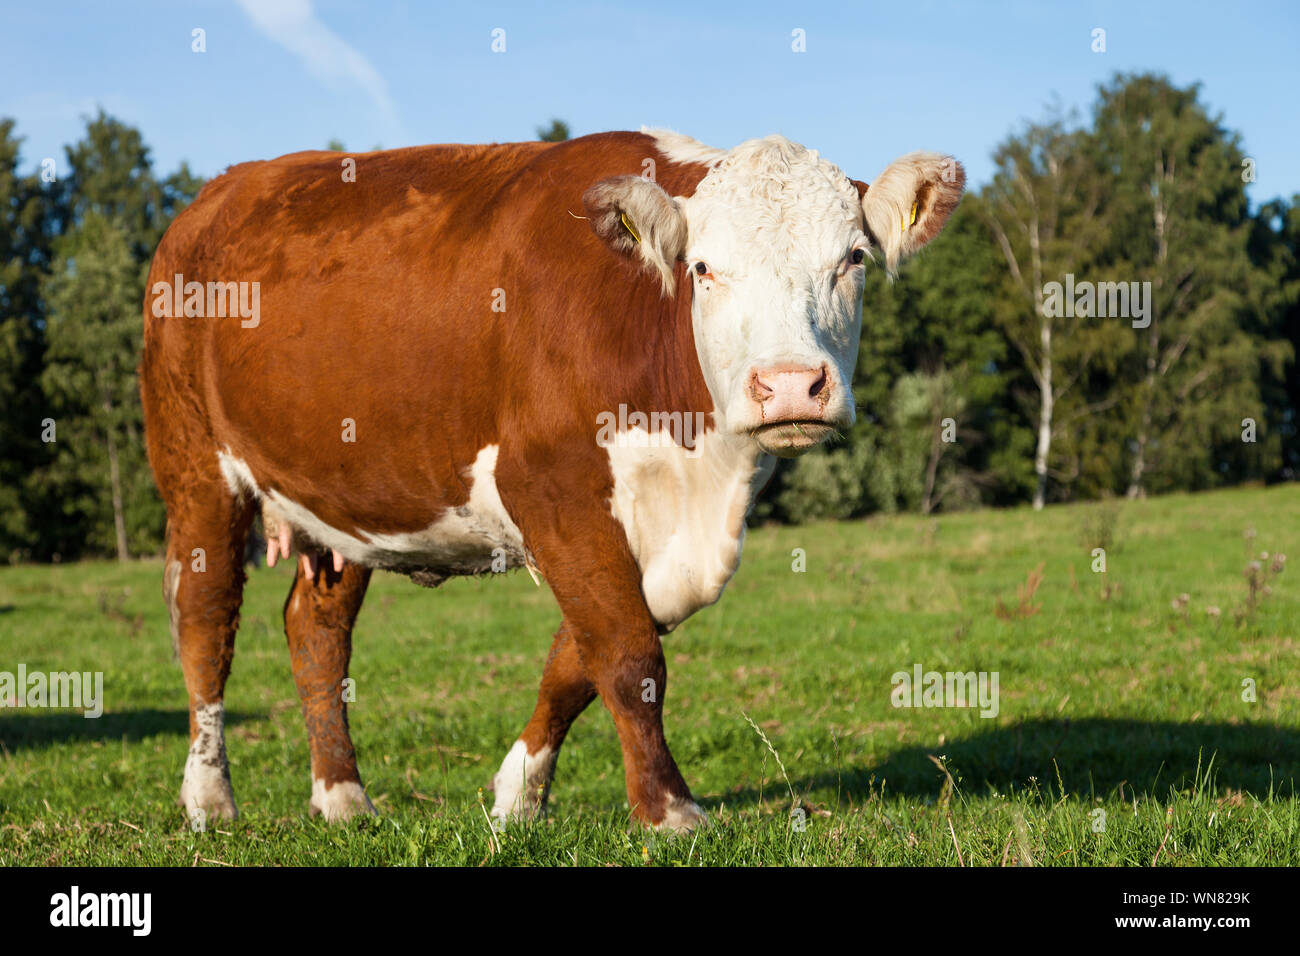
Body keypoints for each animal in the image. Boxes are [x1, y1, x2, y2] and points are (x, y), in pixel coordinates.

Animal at [140, 129, 963, 830]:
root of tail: (221, 190)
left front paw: (518, 794)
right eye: (704, 268)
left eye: (853, 259)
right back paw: (210, 799)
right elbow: (627, 654)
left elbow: (579, 657)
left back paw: (343, 797)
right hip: (194, 463)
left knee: (317, 629)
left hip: (337, 497)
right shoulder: (551, 490)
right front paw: (668, 809)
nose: (792, 384)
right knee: (205, 618)